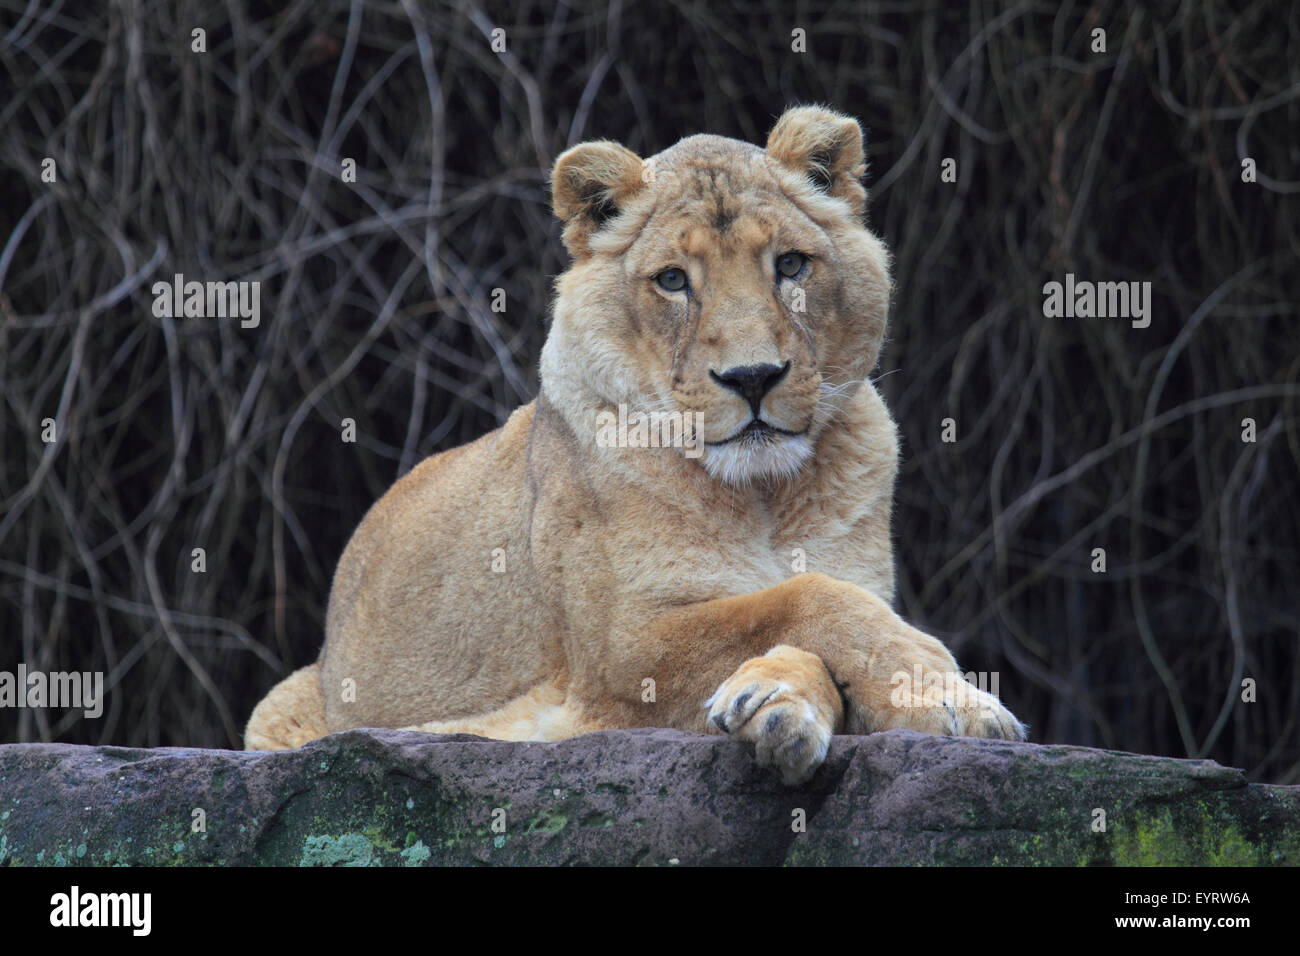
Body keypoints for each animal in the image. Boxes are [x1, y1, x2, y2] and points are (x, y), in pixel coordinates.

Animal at [244, 105, 1026, 784]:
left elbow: (815, 609)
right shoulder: (617, 655)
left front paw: (782, 704)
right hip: (279, 703)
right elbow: (797, 599)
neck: (765, 497)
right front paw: (948, 696)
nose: (752, 377)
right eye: (673, 280)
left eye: (791, 265)